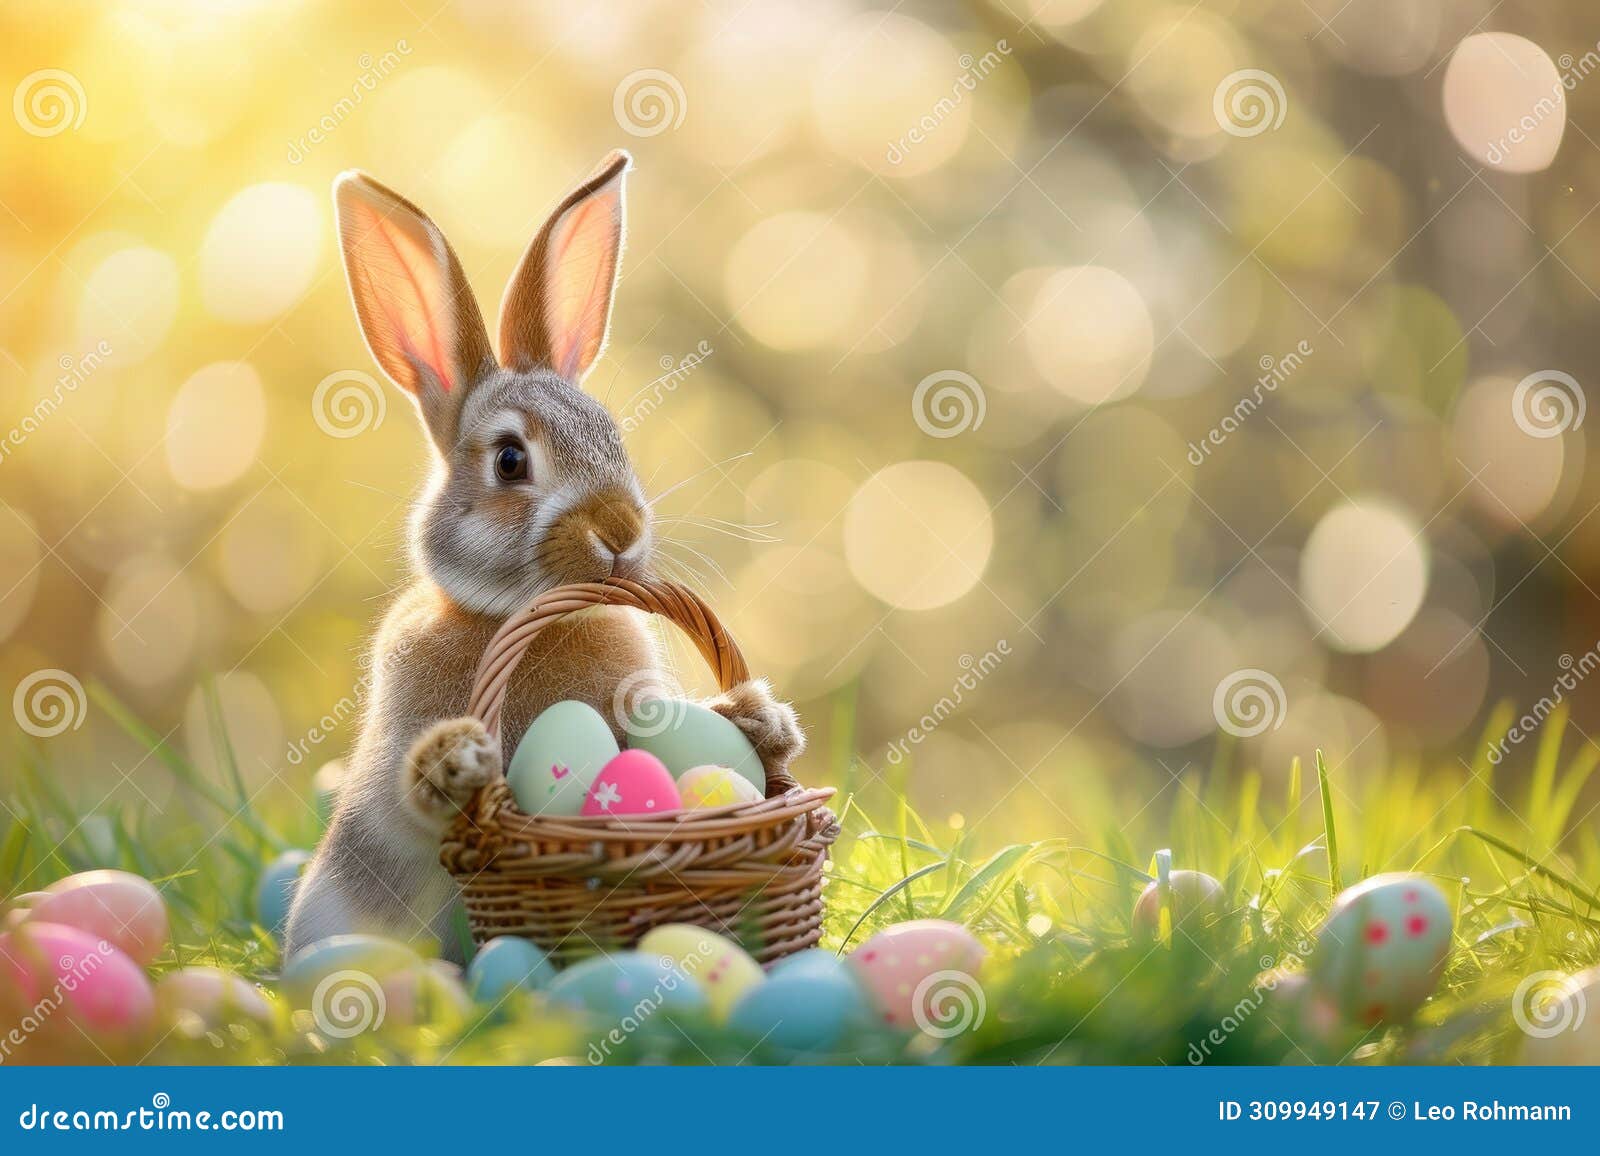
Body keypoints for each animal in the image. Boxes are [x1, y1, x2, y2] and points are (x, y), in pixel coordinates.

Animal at [283, 150, 804, 963]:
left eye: (615, 438)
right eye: (508, 460)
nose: (620, 528)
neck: (532, 617)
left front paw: (760, 724)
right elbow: (413, 798)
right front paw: (455, 762)